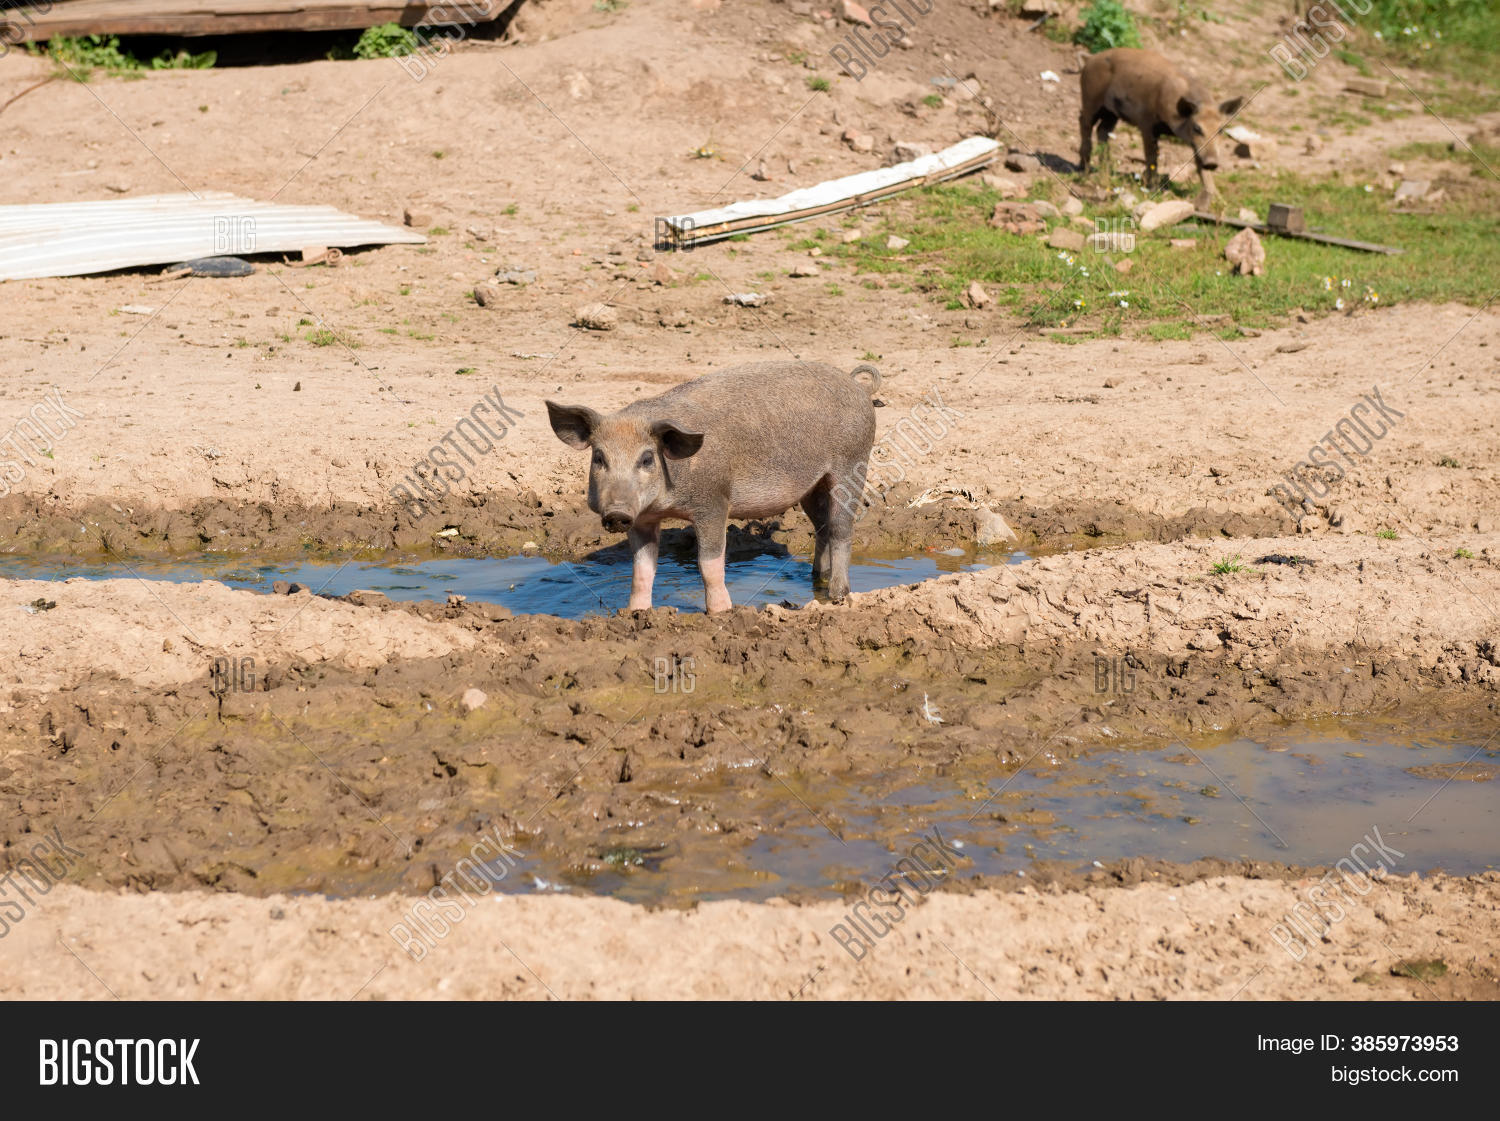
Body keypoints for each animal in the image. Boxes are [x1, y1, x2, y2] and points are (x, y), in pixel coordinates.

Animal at [546, 361, 881, 613]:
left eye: (647, 458)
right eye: (599, 457)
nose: (616, 514)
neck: (666, 504)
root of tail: (858, 387)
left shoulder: (715, 502)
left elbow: (708, 564)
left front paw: (720, 613)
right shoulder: (642, 519)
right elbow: (642, 570)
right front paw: (637, 613)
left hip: (852, 463)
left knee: (840, 528)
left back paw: (837, 596)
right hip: (812, 485)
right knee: (821, 526)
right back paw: (816, 579)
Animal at [1077, 48, 1245, 200]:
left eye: (1221, 130)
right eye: (1197, 128)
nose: (1212, 163)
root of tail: (1089, 59)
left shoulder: (1195, 144)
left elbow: (1199, 164)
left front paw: (1217, 198)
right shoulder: (1146, 123)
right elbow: (1152, 156)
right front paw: (1153, 189)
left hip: (1112, 113)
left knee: (1102, 130)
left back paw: (1106, 170)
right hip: (1090, 97)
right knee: (1084, 121)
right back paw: (1084, 171)